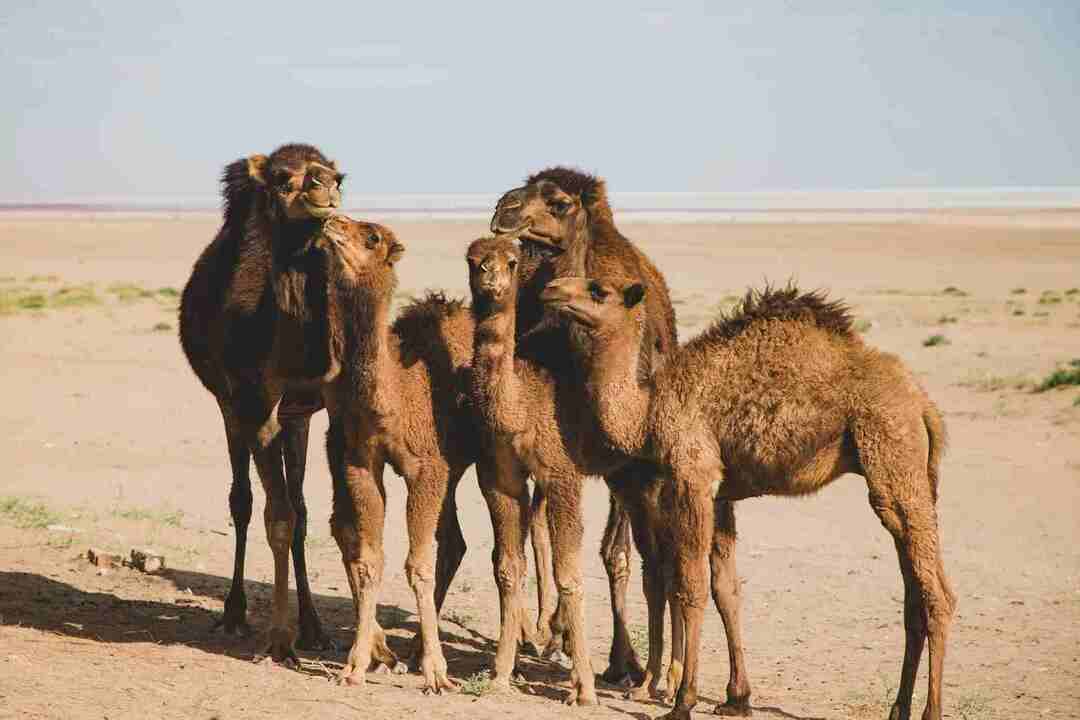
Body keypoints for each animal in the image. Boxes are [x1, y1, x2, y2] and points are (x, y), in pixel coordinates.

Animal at [490, 165, 682, 686]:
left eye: (558, 202)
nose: (504, 209)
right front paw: (551, 634)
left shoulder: (627, 462)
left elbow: (617, 554)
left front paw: (624, 661)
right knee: (536, 527)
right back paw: (540, 630)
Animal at [544, 278, 959, 720]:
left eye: (598, 291)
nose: (552, 289)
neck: (648, 411)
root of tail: (923, 404)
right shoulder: (721, 493)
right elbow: (725, 589)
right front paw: (735, 698)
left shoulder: (693, 474)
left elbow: (691, 587)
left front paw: (683, 702)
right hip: (911, 477)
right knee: (914, 595)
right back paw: (898, 708)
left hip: (892, 454)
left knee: (937, 594)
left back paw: (931, 710)